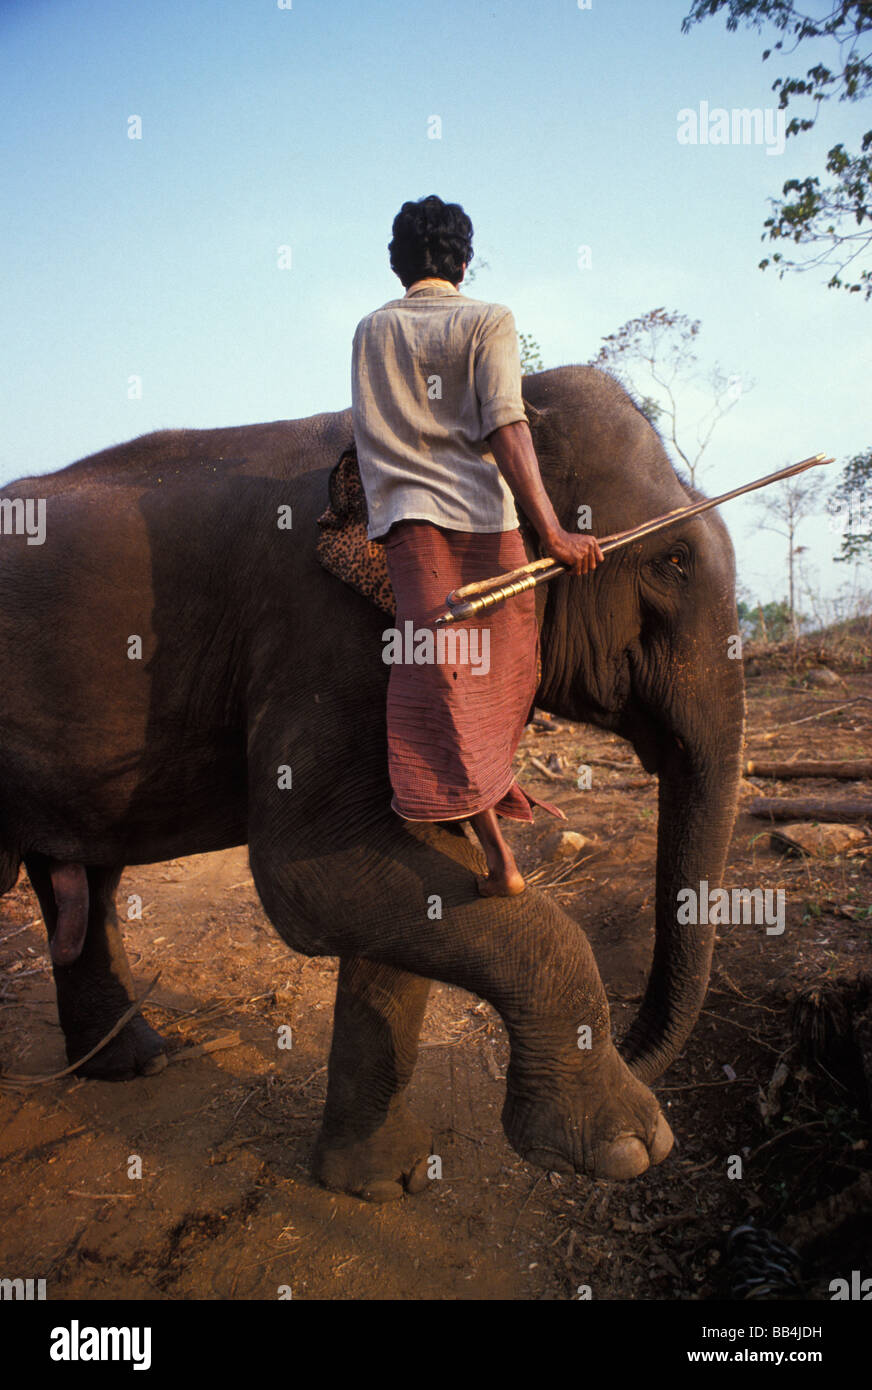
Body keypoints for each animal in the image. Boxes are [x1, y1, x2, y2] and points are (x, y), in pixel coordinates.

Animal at [0, 364, 743, 1199]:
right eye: (672, 562)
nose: (636, 1048)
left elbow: (415, 863)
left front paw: (381, 1183)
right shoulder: (325, 624)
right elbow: (311, 875)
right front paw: (626, 1147)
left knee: (87, 881)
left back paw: (134, 1065)